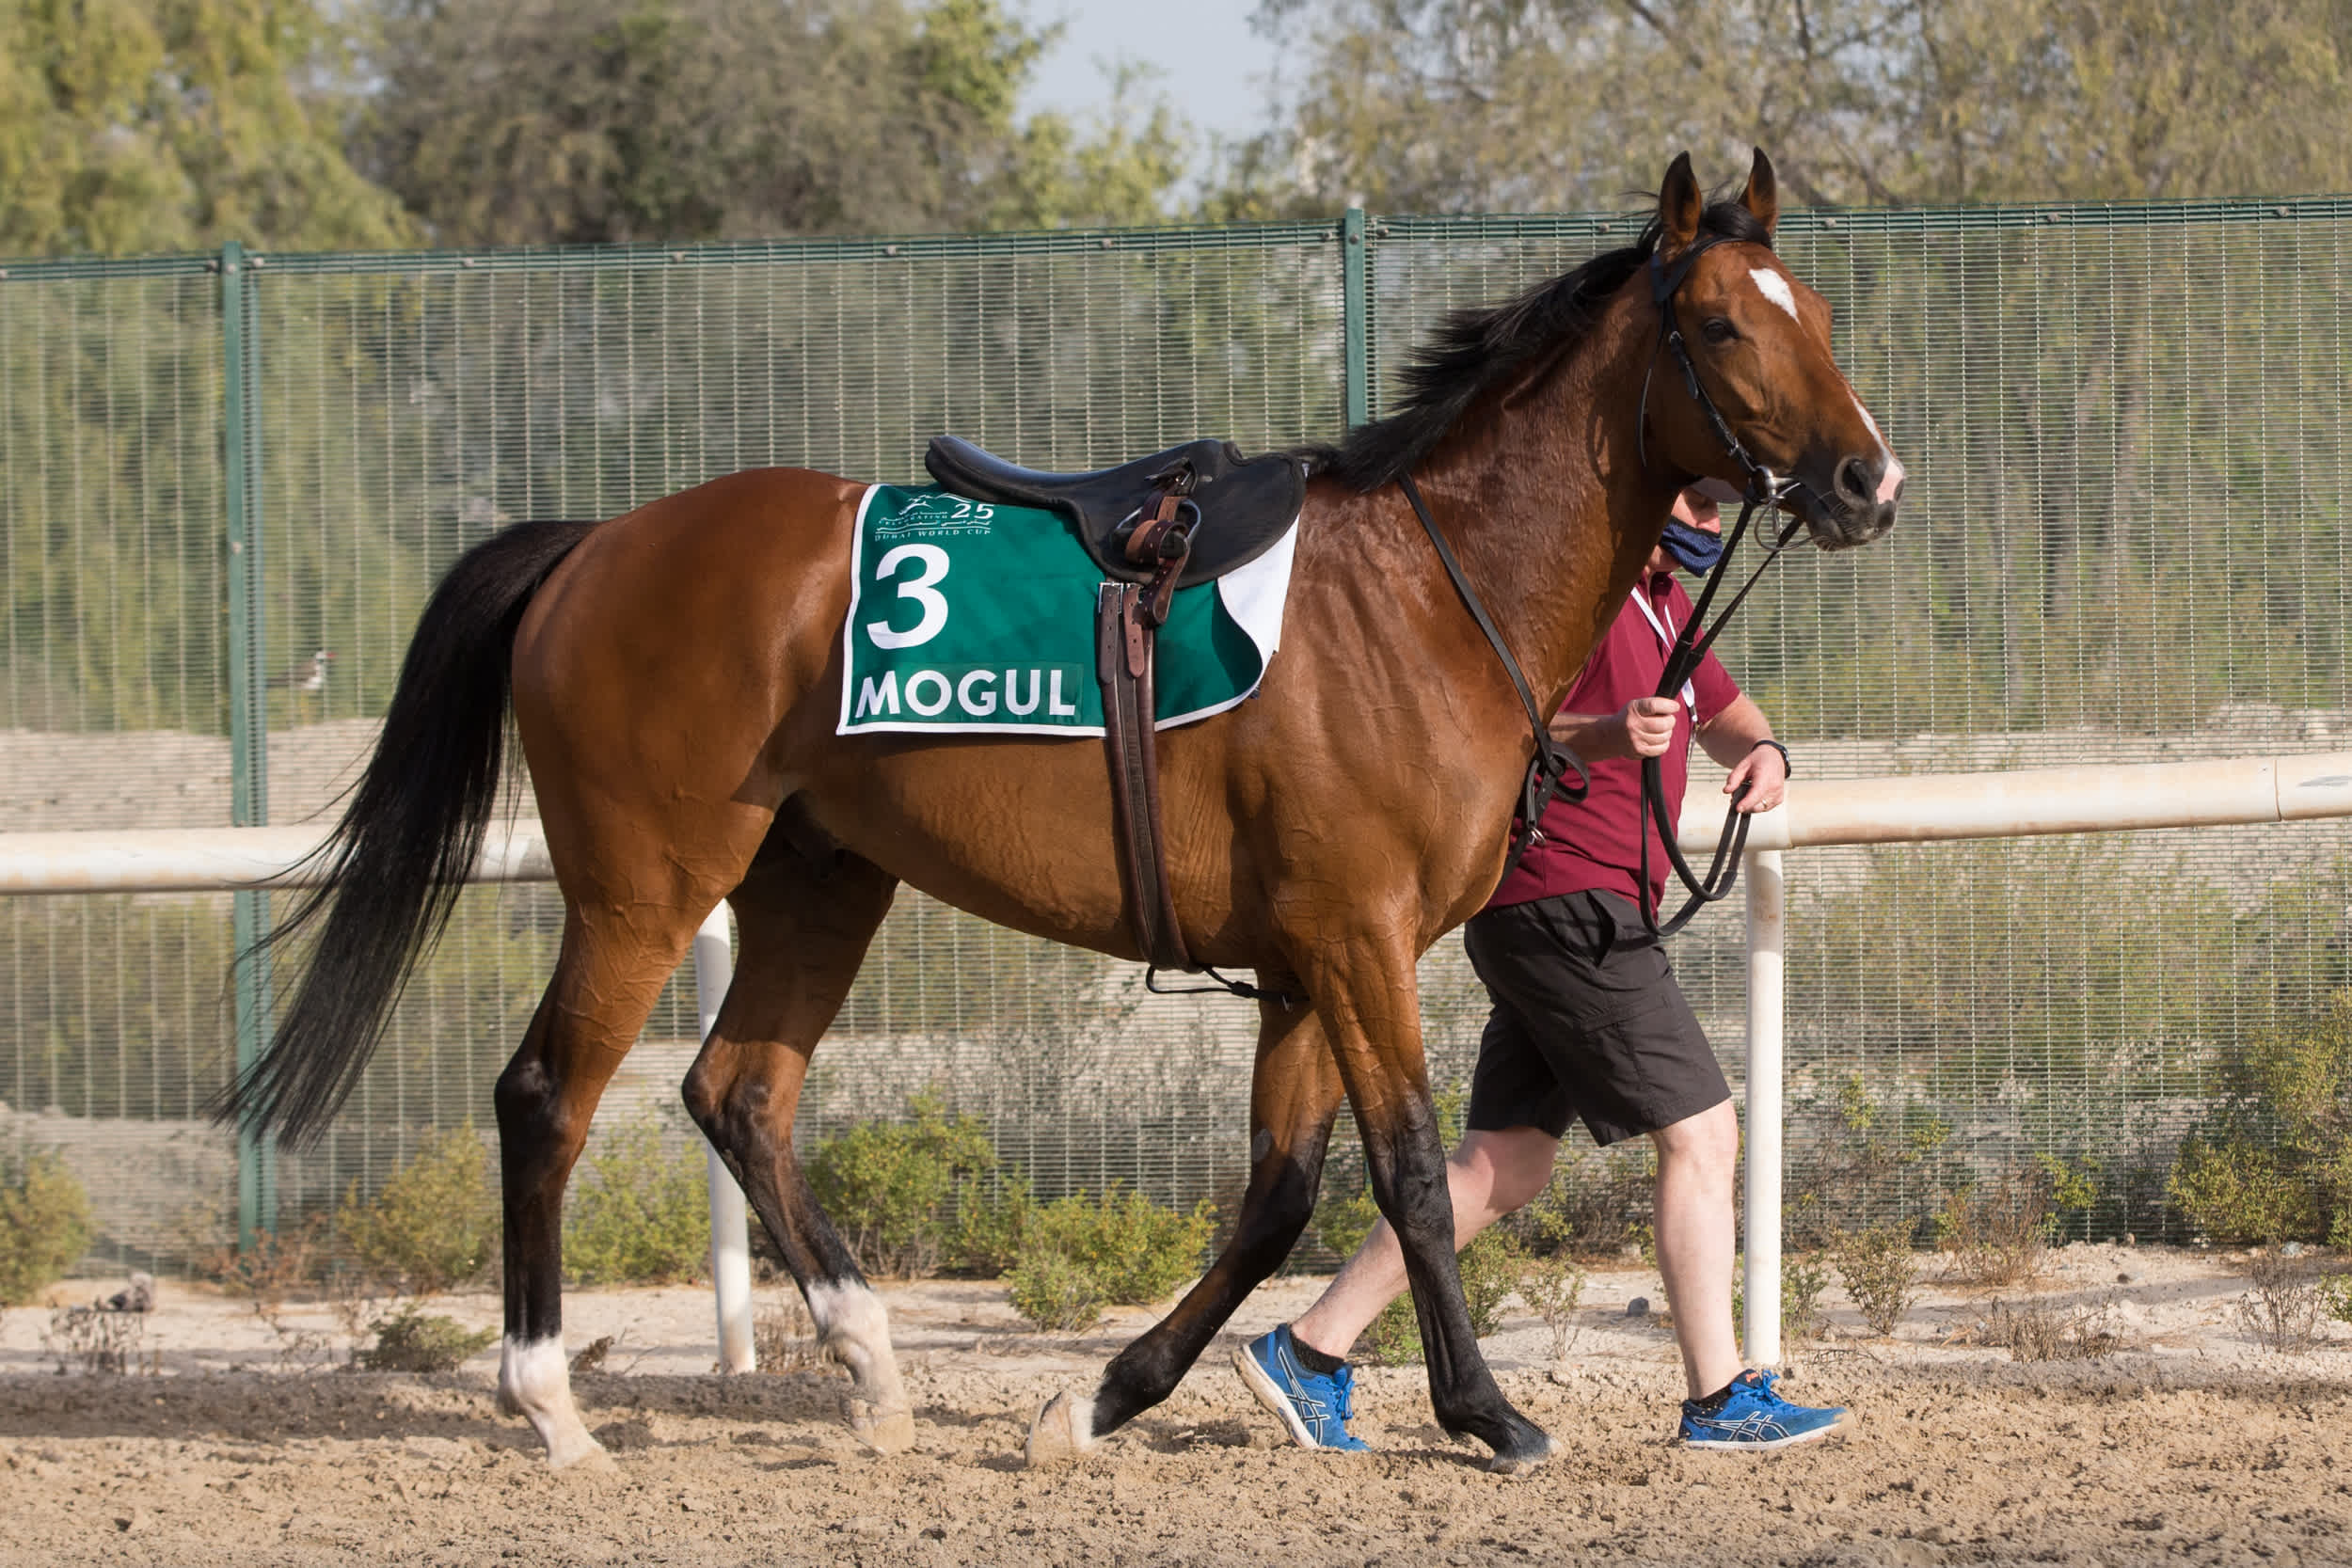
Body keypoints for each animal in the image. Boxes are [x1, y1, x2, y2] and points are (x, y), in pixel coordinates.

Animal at [221, 149, 1902, 1474]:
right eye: (1719, 322)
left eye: (1815, 314)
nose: (1867, 480)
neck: (1426, 591)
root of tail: (592, 547)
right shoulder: (1358, 939)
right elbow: (1416, 1175)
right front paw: (1486, 1411)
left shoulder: (1302, 960)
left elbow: (1278, 1195)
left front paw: (1102, 1396)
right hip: (645, 882)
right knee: (545, 1096)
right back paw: (551, 1404)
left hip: (820, 877)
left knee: (740, 1092)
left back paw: (872, 1364)